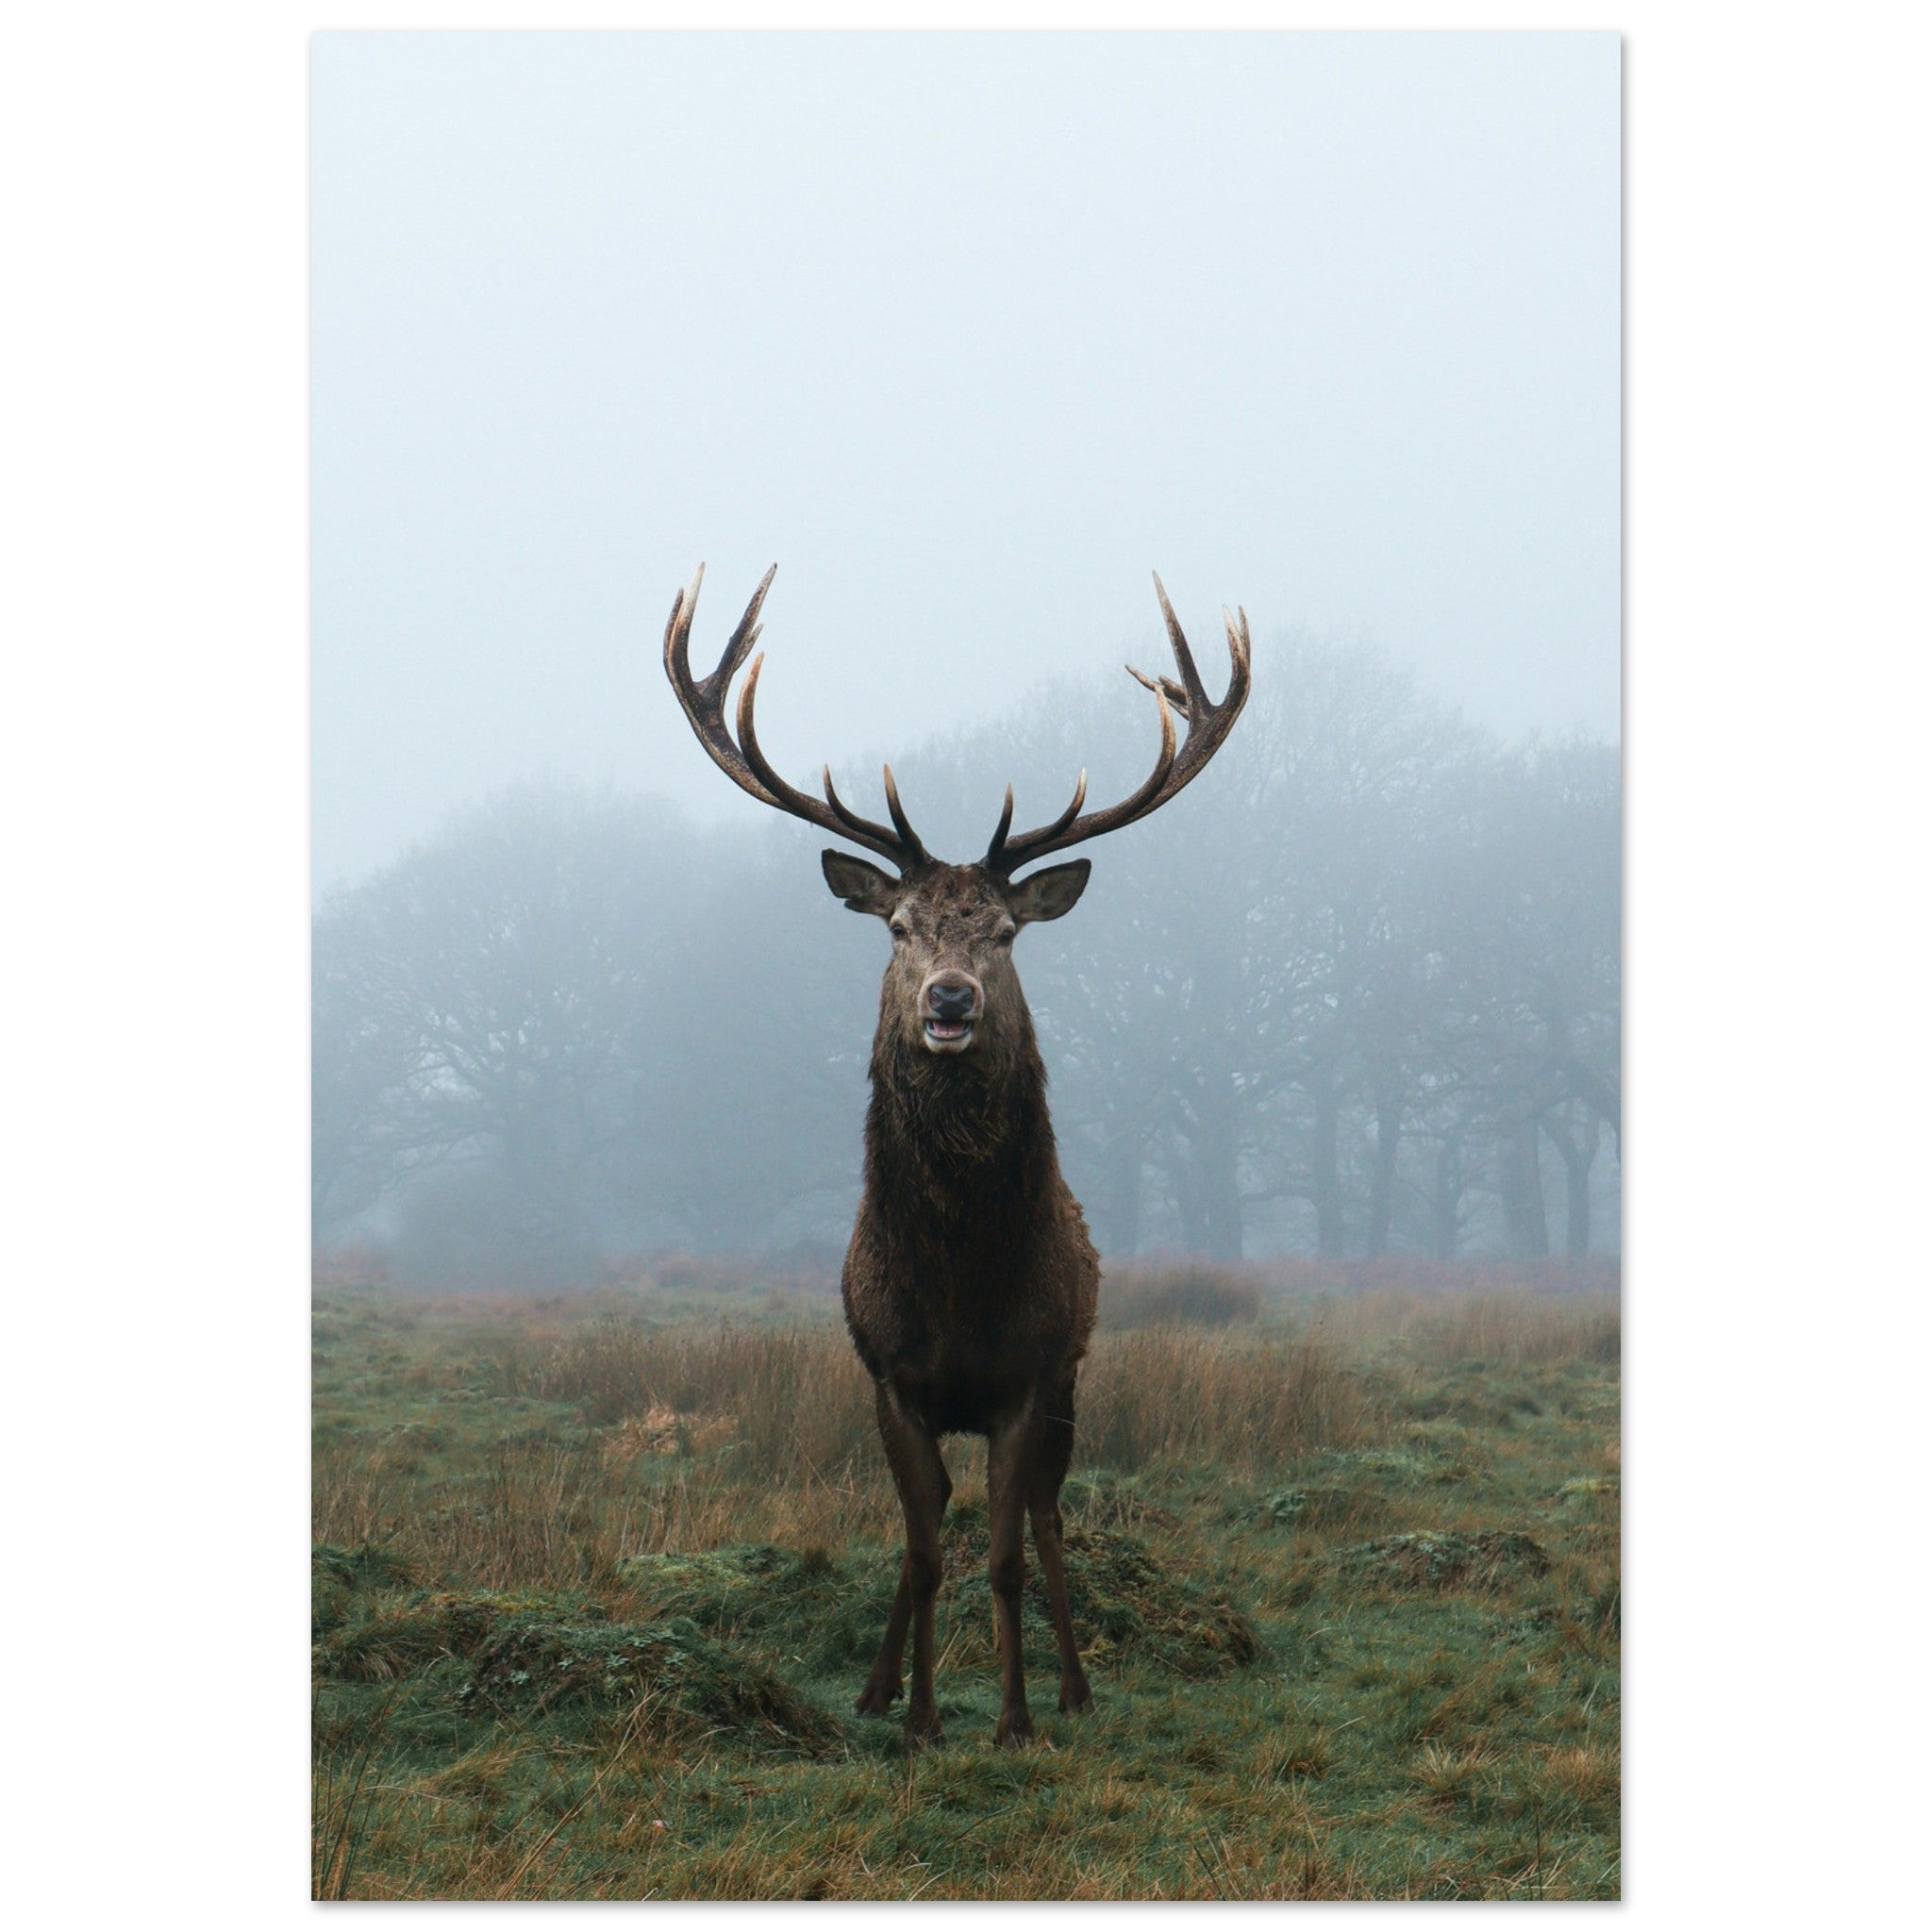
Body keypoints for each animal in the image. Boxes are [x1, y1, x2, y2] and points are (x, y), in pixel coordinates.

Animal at [663, 564, 1250, 1749]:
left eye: (1004, 932)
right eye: (896, 926)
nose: (948, 1000)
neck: (959, 1281)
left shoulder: (1029, 1374)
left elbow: (1008, 1553)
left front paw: (1015, 1714)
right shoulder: (891, 1377)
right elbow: (927, 1548)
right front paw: (919, 1716)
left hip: (1072, 1379)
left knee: (1049, 1515)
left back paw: (1072, 1686)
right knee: (925, 1523)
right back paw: (877, 1685)